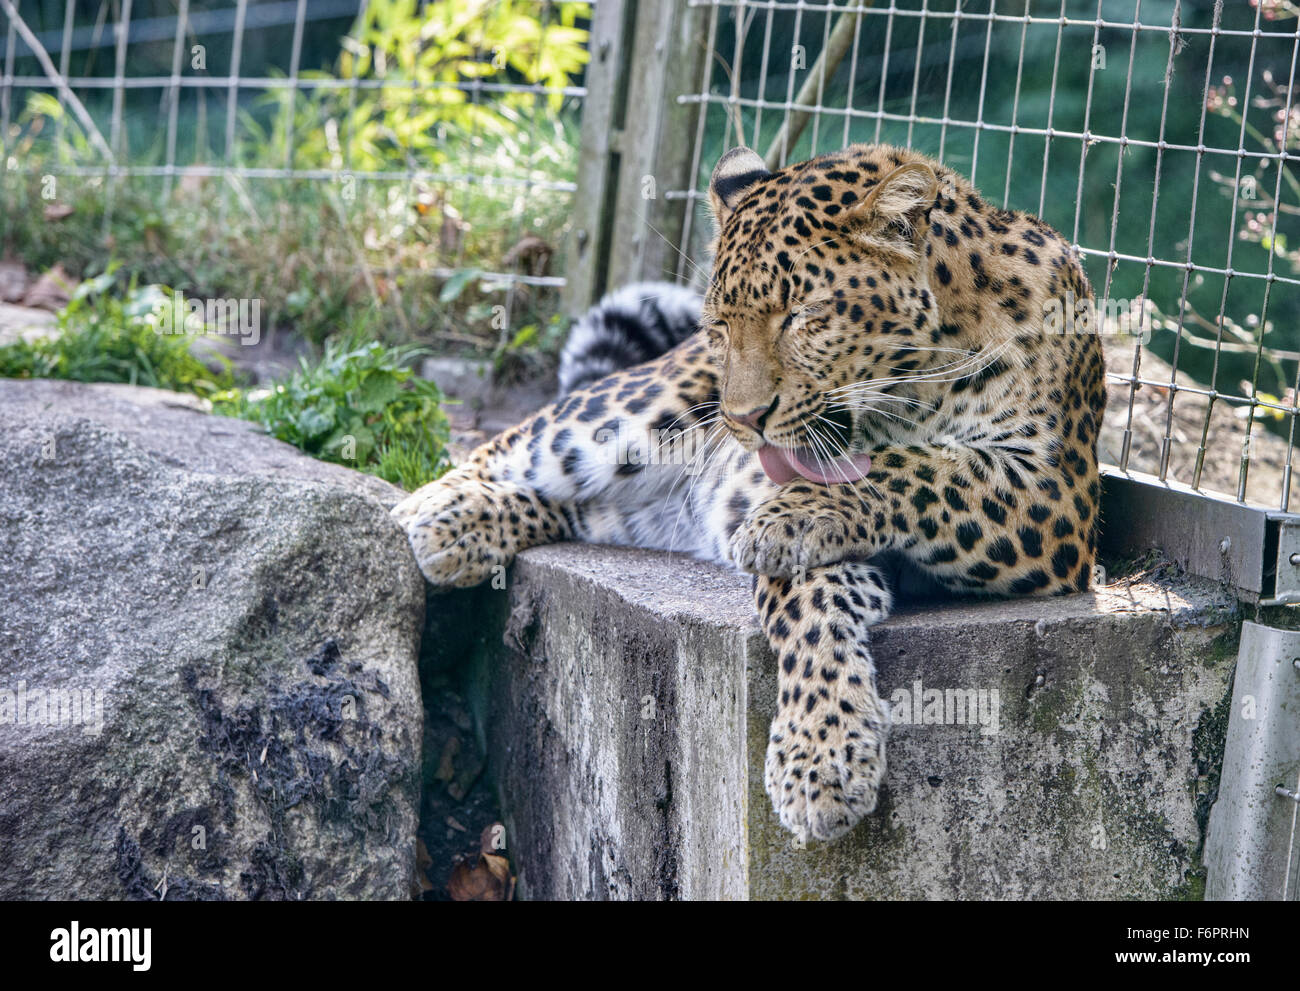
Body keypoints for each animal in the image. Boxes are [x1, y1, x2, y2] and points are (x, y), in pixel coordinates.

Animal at [394, 143, 1106, 844]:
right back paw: (435, 515)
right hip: (633, 414)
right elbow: (808, 599)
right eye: (720, 325)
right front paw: (820, 756)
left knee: (586, 506)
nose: (742, 419)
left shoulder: (1056, 495)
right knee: (514, 445)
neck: (925, 375)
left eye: (802, 315)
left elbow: (917, 468)